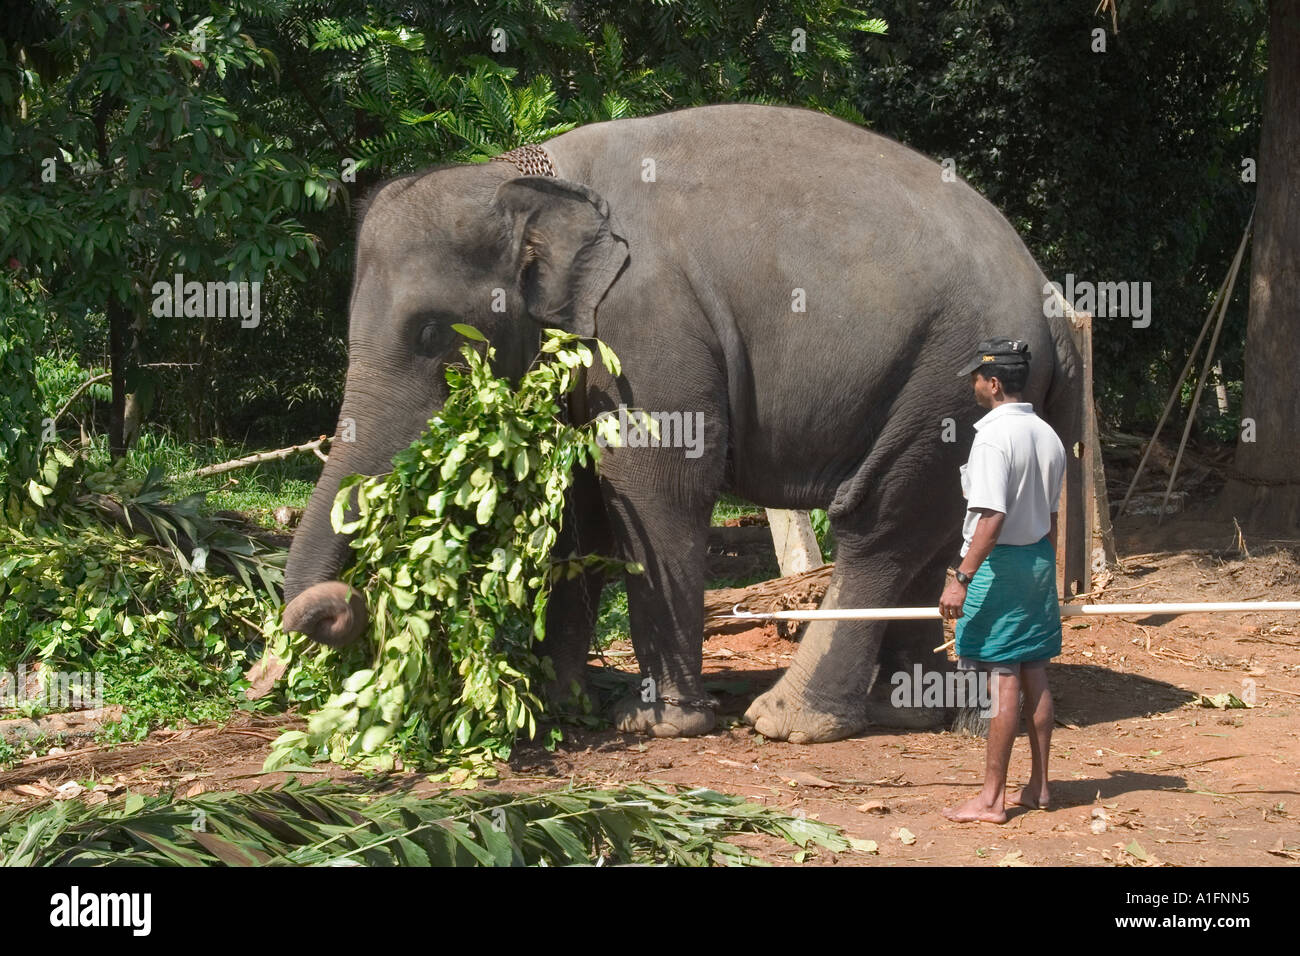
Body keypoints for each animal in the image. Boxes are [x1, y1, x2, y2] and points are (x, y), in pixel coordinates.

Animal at [282, 103, 1083, 744]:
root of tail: (1049, 299)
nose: (338, 608)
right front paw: (553, 706)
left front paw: (655, 724)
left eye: (428, 334)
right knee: (937, 522)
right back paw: (906, 709)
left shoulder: (646, 331)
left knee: (877, 524)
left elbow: (656, 488)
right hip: (949, 399)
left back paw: (788, 721)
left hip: (949, 377)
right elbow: (582, 513)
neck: (532, 179)